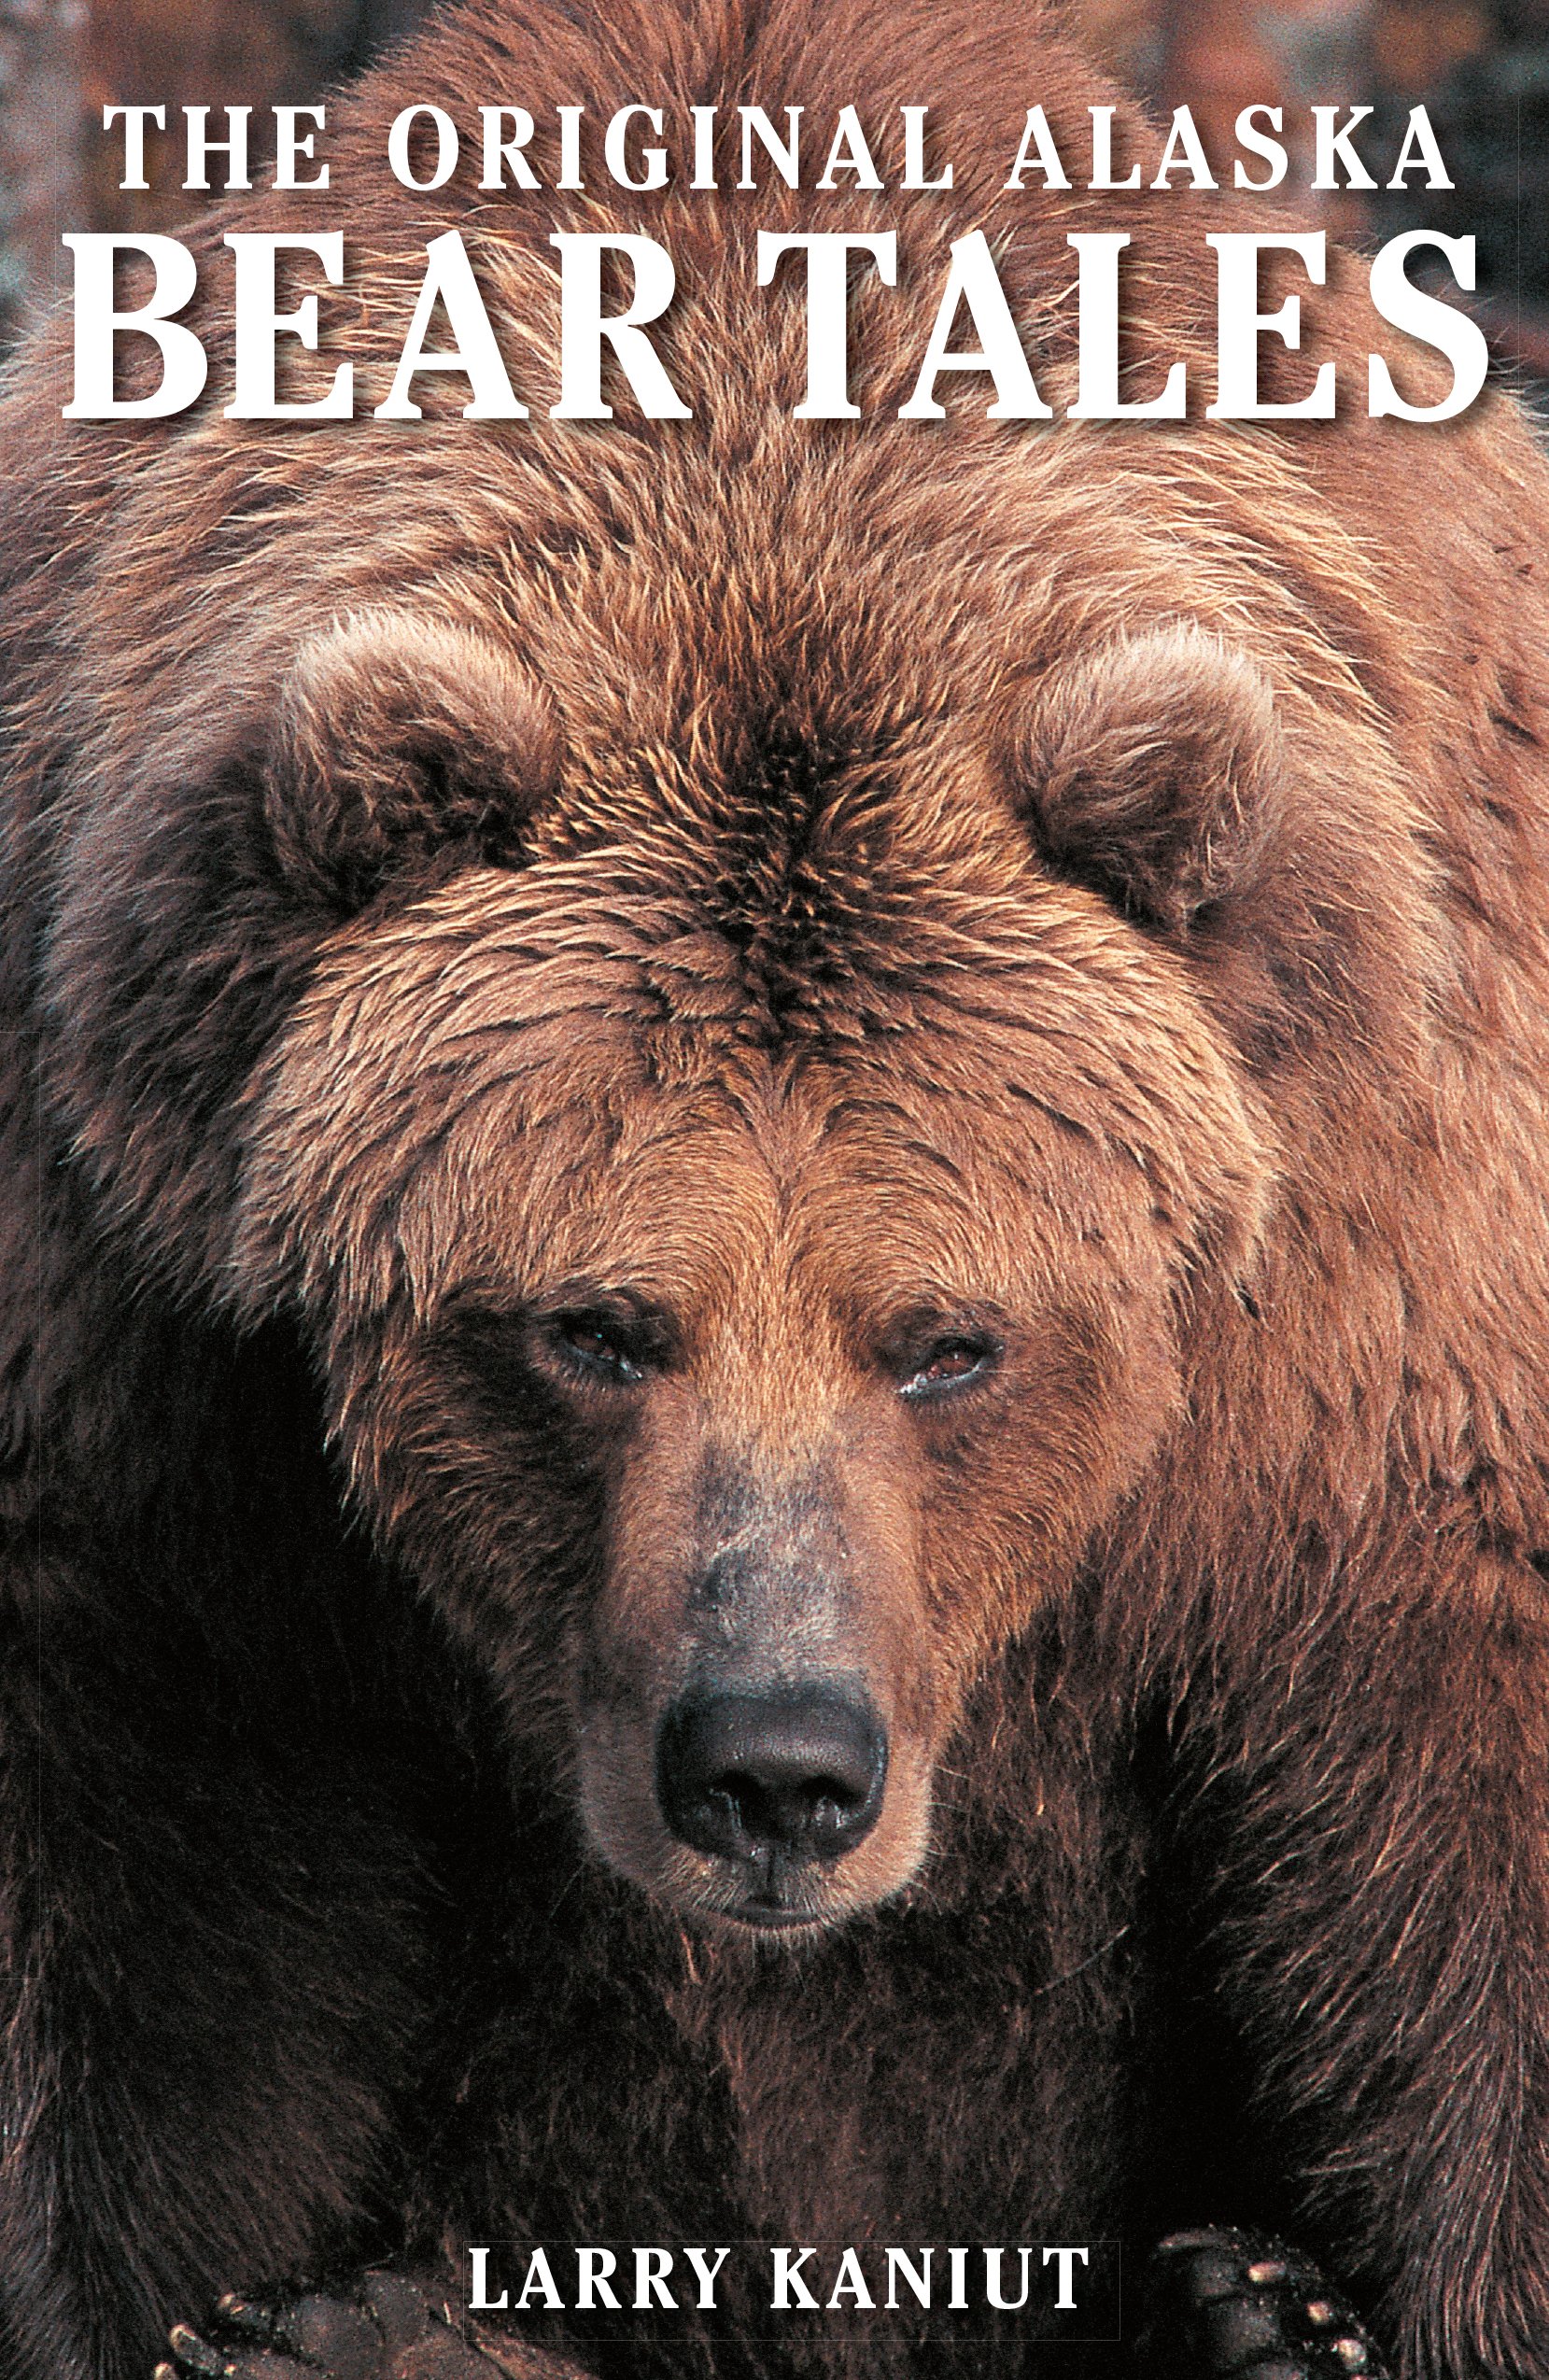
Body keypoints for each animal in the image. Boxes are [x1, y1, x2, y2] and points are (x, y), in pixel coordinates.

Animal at [3, 0, 1549, 2376]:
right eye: (587, 1322)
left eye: (952, 1338)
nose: (773, 1766)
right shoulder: (136, 1340)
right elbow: (146, 1950)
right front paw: (229, 2303)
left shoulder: (1382, 1305)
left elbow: (1460, 1839)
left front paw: (1334, 2293)